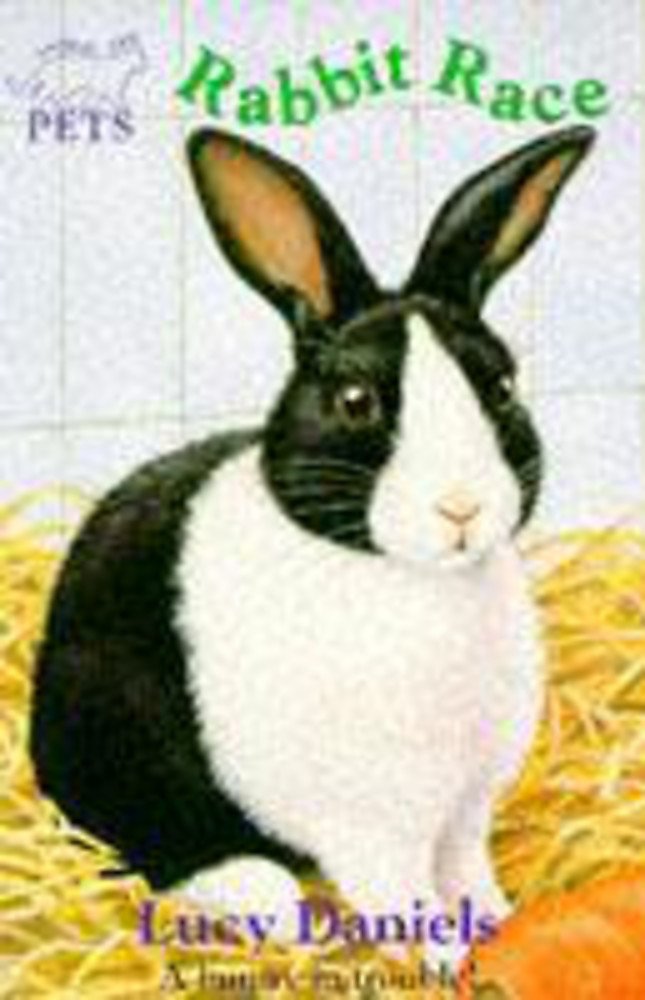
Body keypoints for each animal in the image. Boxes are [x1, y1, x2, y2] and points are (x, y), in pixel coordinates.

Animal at [30, 124, 594, 961]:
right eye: (354, 401)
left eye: (499, 388)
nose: (460, 507)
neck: (411, 578)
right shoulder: (372, 831)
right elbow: (406, 897)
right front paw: (447, 959)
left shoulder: (463, 809)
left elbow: (467, 874)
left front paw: (501, 924)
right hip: (113, 736)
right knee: (149, 845)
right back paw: (258, 895)